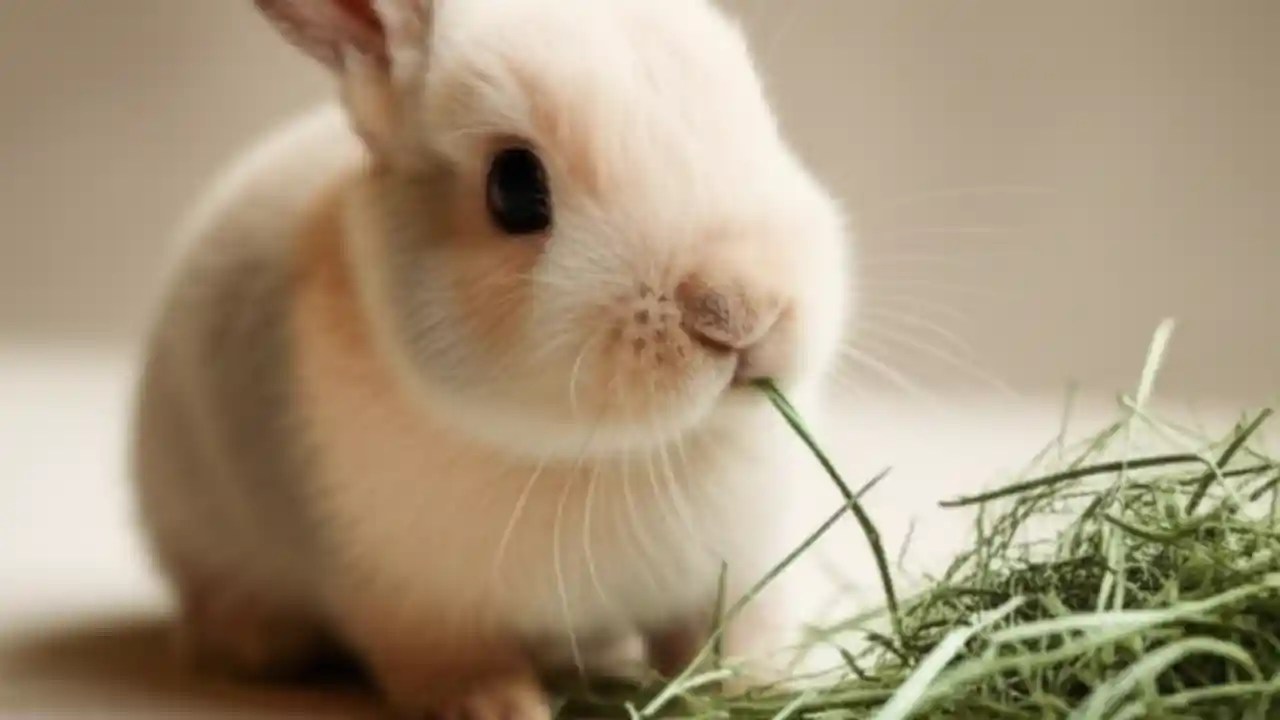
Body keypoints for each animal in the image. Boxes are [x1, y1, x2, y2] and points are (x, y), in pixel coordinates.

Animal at [131, 0, 853, 716]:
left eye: (760, 119)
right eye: (514, 187)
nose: (742, 309)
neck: (607, 453)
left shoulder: (744, 575)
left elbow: (731, 645)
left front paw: (760, 689)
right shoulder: (413, 604)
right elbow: (461, 667)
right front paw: (504, 707)